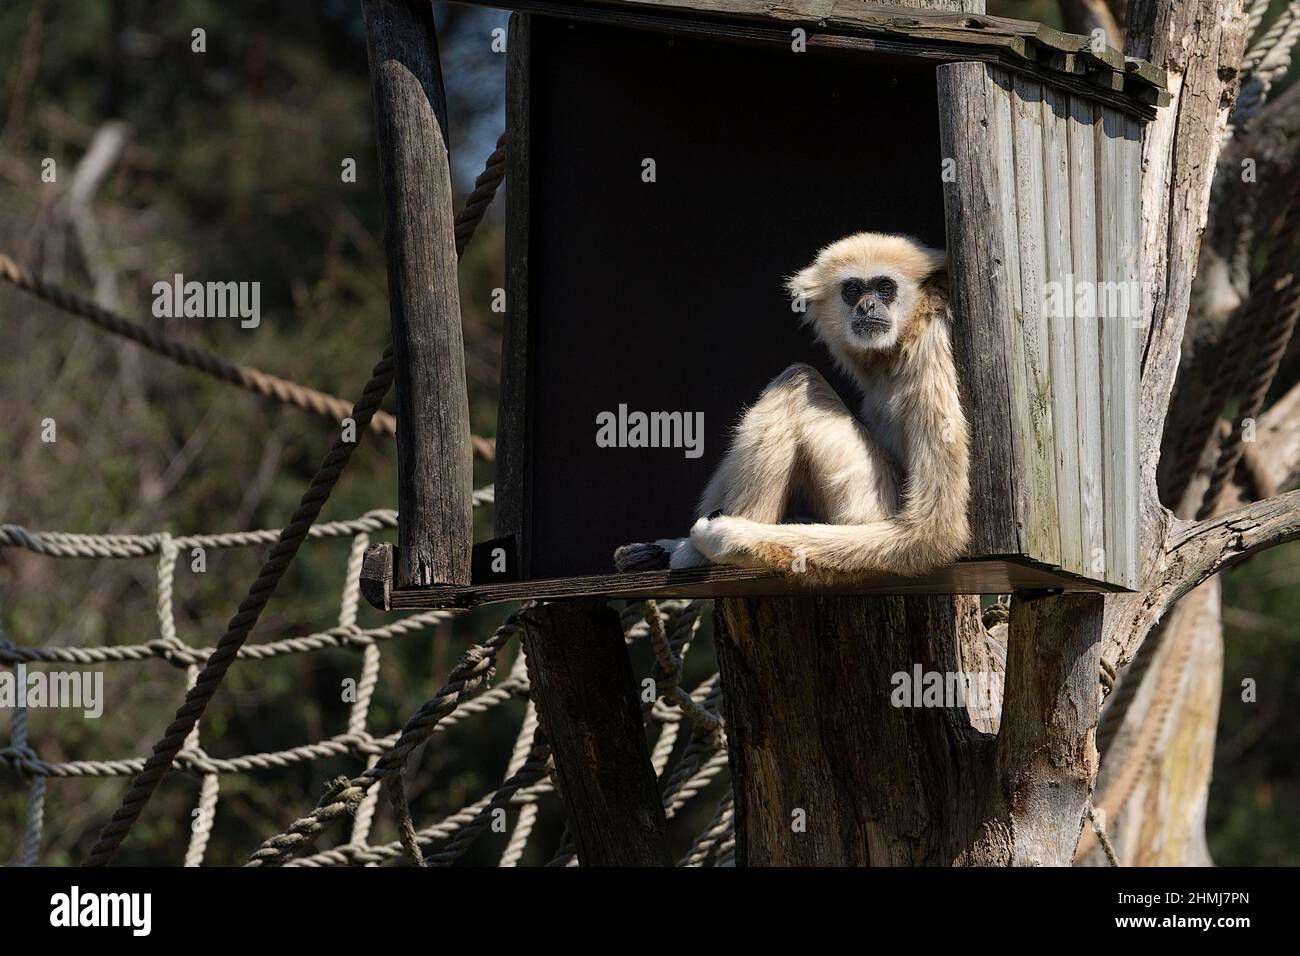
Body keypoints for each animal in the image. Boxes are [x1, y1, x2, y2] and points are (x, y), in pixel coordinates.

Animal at [613, 232, 970, 583]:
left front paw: (727, 535)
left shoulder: (932, 352)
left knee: (797, 381)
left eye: (885, 288)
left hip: (868, 504)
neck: (911, 330)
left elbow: (931, 533)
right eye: (853, 290)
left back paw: (699, 553)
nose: (867, 305)